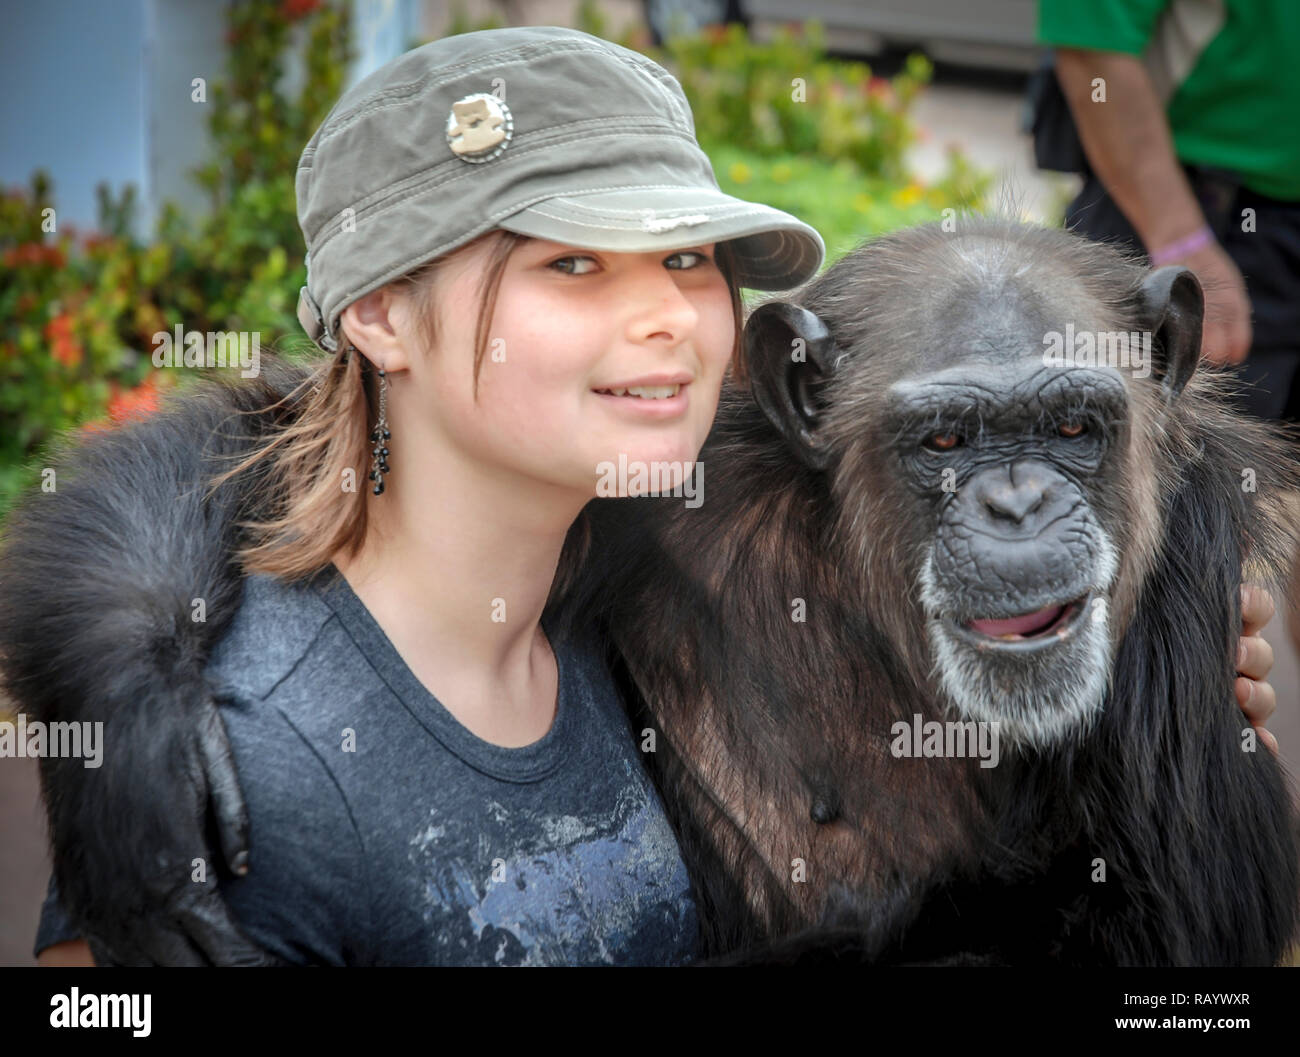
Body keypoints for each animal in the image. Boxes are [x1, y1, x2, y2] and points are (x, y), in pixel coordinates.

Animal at [1, 216, 1296, 965]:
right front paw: (142, 751)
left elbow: (1151, 912)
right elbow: (266, 439)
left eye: (1073, 425)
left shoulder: (1195, 555)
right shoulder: (677, 459)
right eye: (944, 439)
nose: (1018, 504)